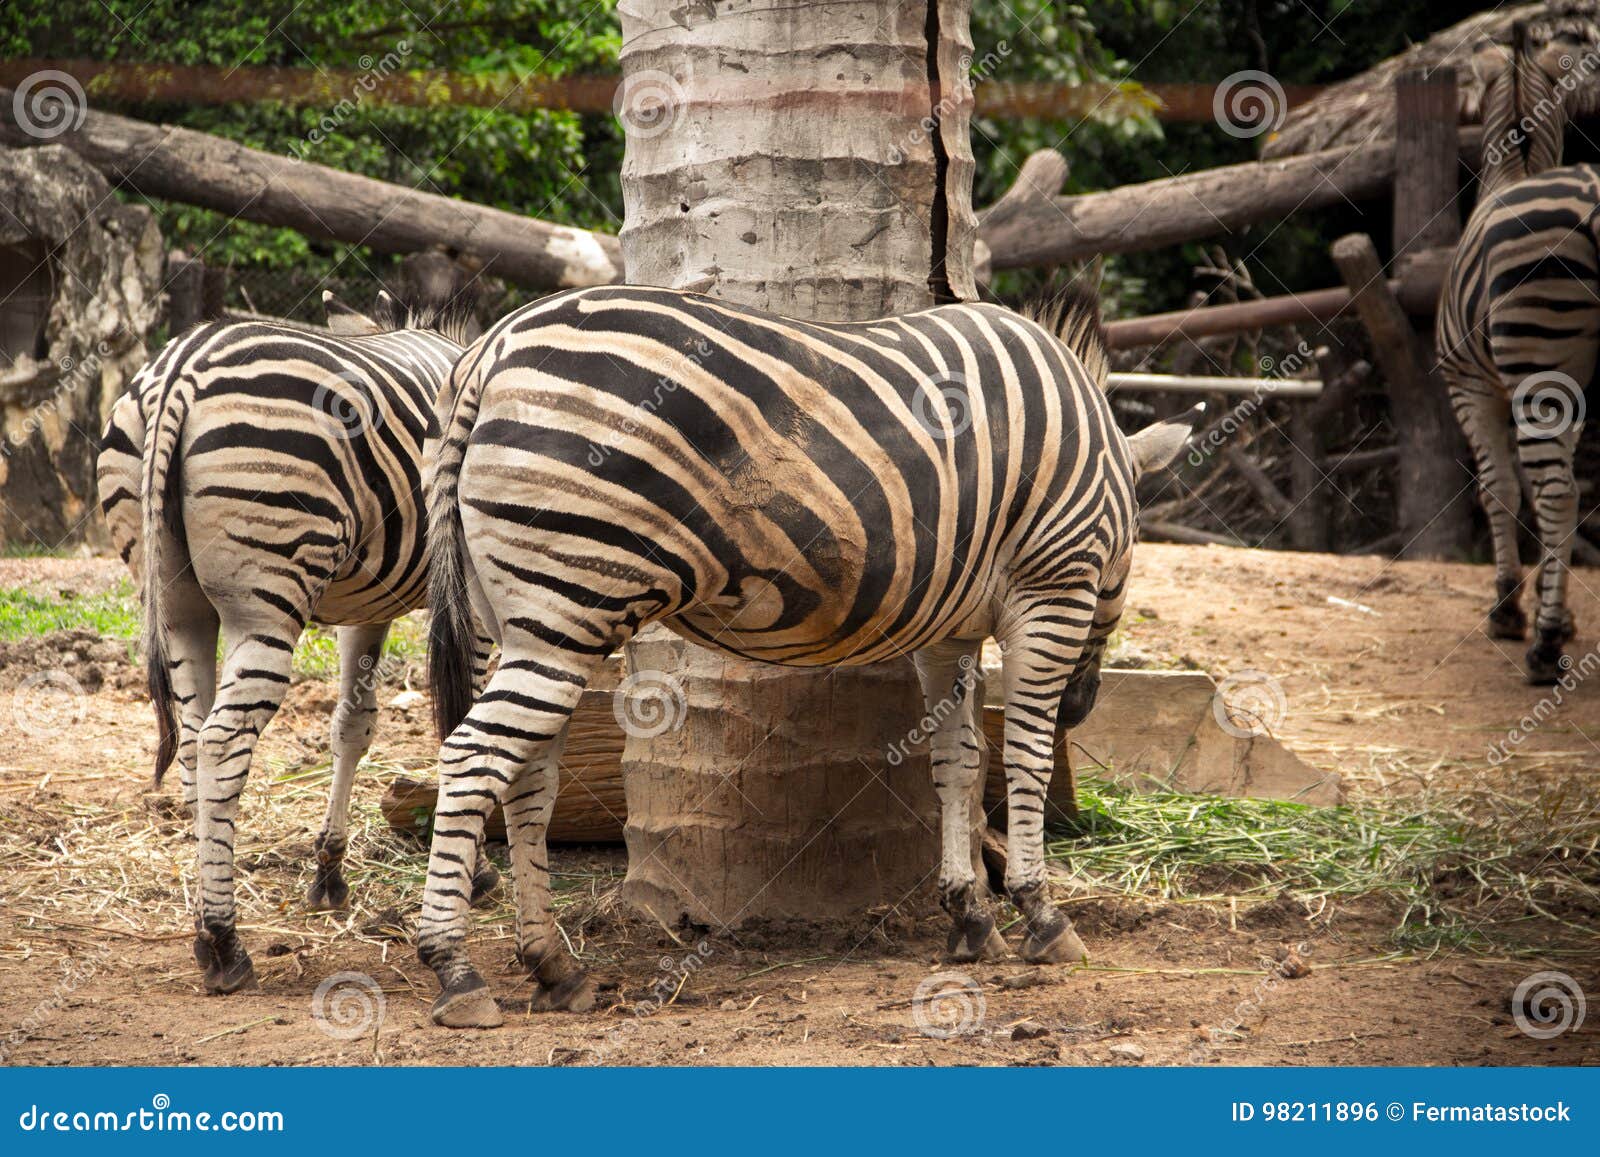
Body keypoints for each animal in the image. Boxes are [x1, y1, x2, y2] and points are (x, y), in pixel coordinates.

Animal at [96, 292, 498, 995]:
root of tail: (181, 368)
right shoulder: (463, 601)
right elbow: (456, 719)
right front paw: (475, 873)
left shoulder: (366, 607)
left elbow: (353, 727)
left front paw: (329, 870)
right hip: (268, 594)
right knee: (224, 739)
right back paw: (225, 943)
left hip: (174, 600)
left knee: (195, 740)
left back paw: (202, 922)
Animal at [415, 283, 1198, 1027]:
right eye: (1126, 561)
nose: (1081, 707)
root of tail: (490, 350)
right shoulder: (1053, 585)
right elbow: (1026, 757)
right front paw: (1041, 915)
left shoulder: (947, 629)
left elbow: (958, 763)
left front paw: (970, 915)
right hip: (570, 598)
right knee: (473, 758)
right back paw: (456, 972)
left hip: (526, 615)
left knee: (525, 777)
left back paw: (554, 966)